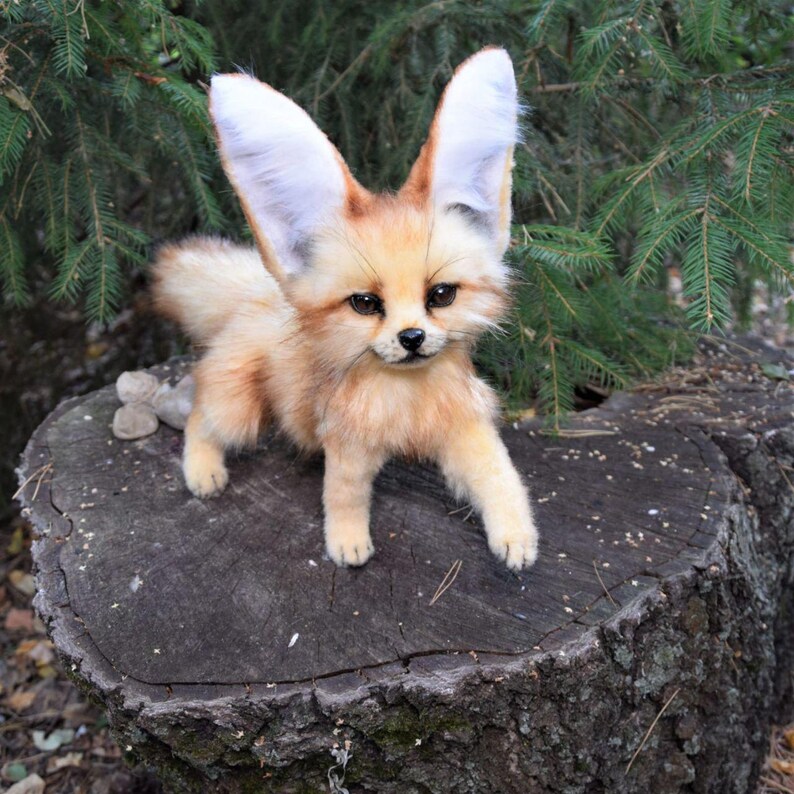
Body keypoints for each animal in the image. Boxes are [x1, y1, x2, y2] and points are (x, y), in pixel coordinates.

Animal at [152, 47, 539, 570]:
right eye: (365, 304)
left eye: (441, 295)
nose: (412, 338)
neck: (407, 399)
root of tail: (255, 293)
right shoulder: (348, 447)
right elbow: (344, 497)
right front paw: (348, 544)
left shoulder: (464, 428)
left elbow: (501, 478)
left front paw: (516, 538)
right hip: (238, 409)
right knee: (200, 419)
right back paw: (202, 473)